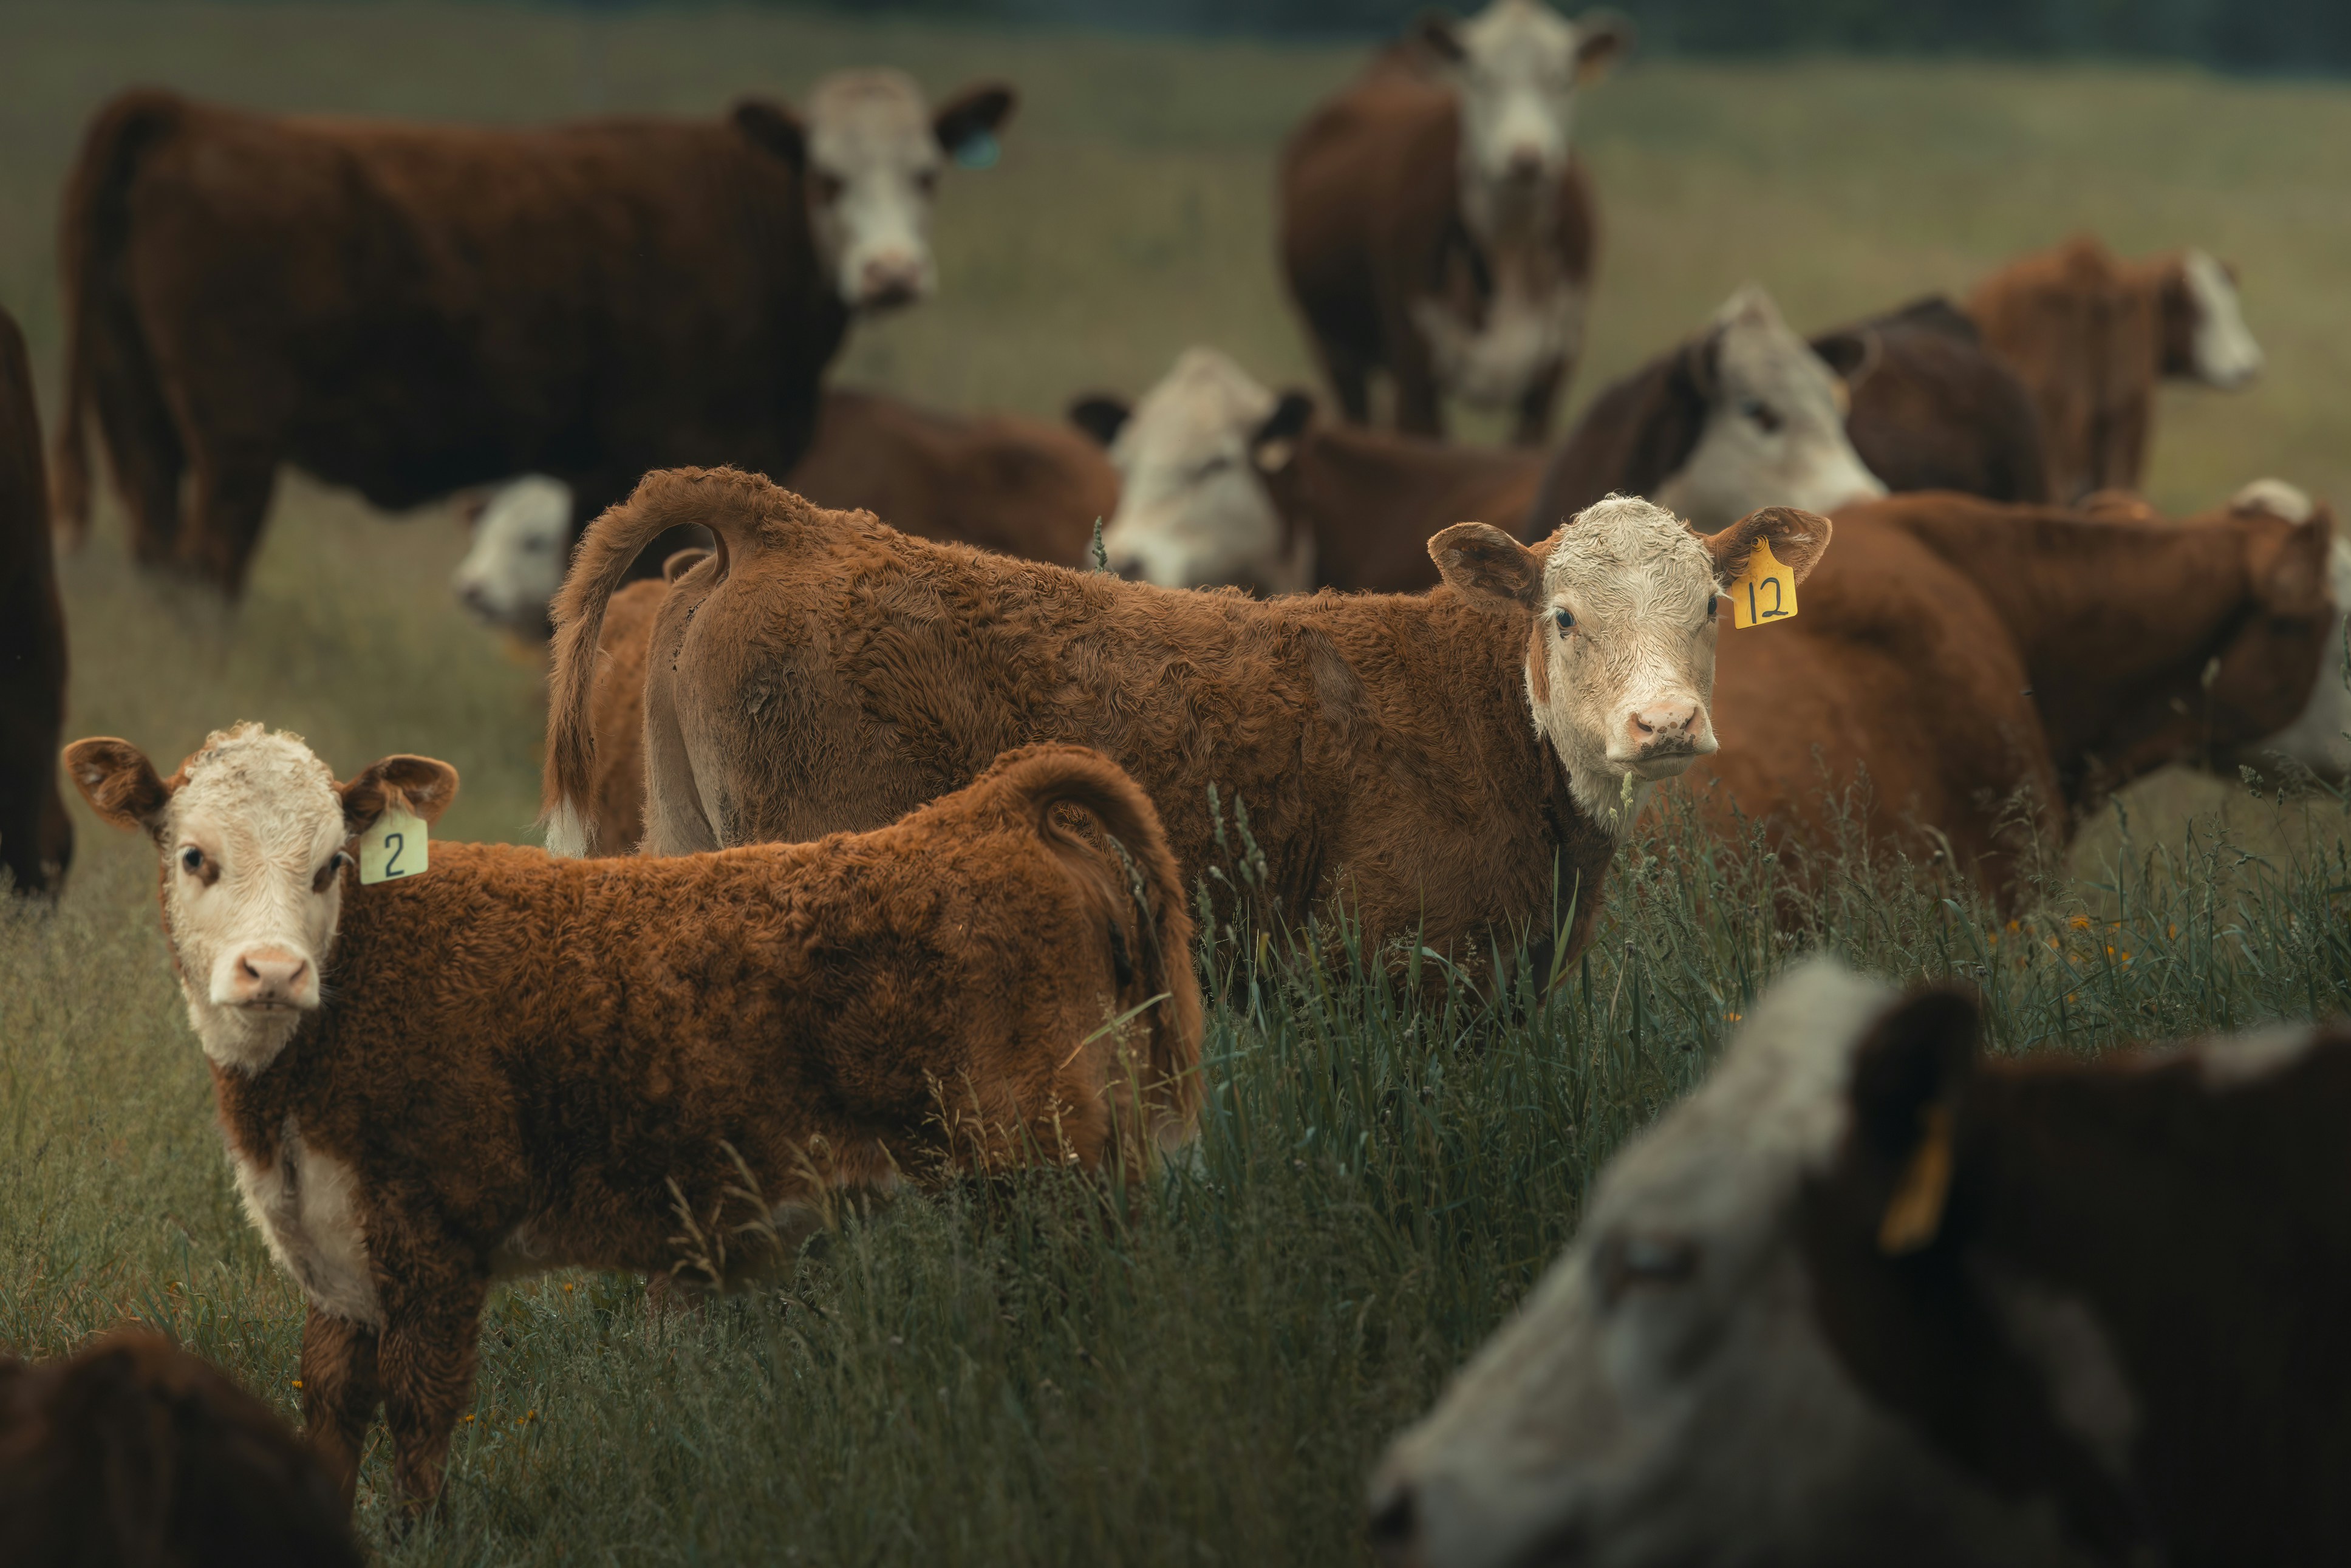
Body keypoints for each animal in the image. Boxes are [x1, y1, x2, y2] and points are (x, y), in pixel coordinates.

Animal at [50, 71, 1016, 596]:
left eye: (927, 174)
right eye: (825, 179)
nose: (891, 272)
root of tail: (187, 116)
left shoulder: (597, 471)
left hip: (140, 418)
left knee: (160, 558)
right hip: (234, 441)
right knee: (207, 572)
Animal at [66, 722, 1201, 1509]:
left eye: (330, 864)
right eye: (194, 858)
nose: (271, 970)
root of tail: (986, 813)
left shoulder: (436, 1238)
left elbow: (421, 1417)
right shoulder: (337, 1256)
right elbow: (333, 1409)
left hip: (1050, 1172)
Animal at [1278, 2, 1628, 446]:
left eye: (1562, 80)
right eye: (1479, 78)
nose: (1526, 158)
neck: (1508, 243)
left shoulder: (1548, 384)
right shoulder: (1414, 377)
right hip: (1335, 352)